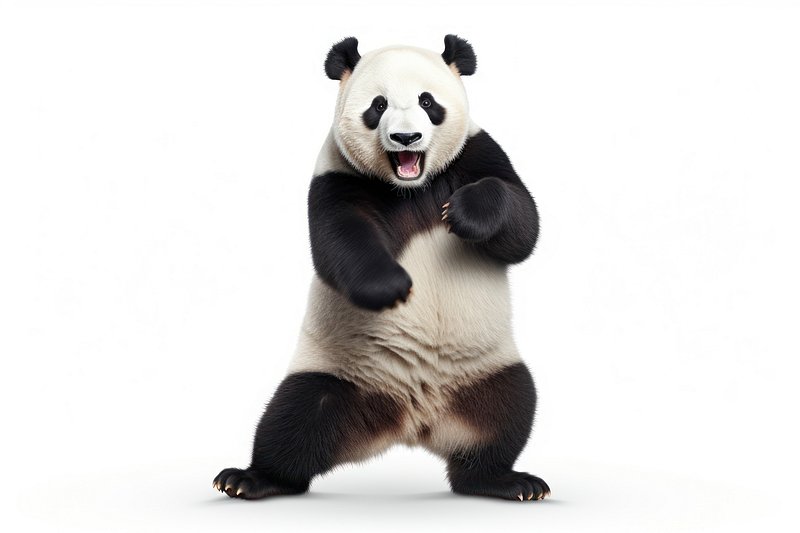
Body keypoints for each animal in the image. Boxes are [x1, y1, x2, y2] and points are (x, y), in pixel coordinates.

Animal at [213, 35, 549, 502]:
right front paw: (392, 288)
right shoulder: (338, 176)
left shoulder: (479, 153)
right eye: (378, 105)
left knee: (510, 410)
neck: (412, 187)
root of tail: (415, 421)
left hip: (487, 370)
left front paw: (466, 211)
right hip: (336, 373)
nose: (406, 137)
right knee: (294, 421)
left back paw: (507, 481)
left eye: (427, 101)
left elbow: (522, 223)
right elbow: (339, 239)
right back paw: (250, 478)